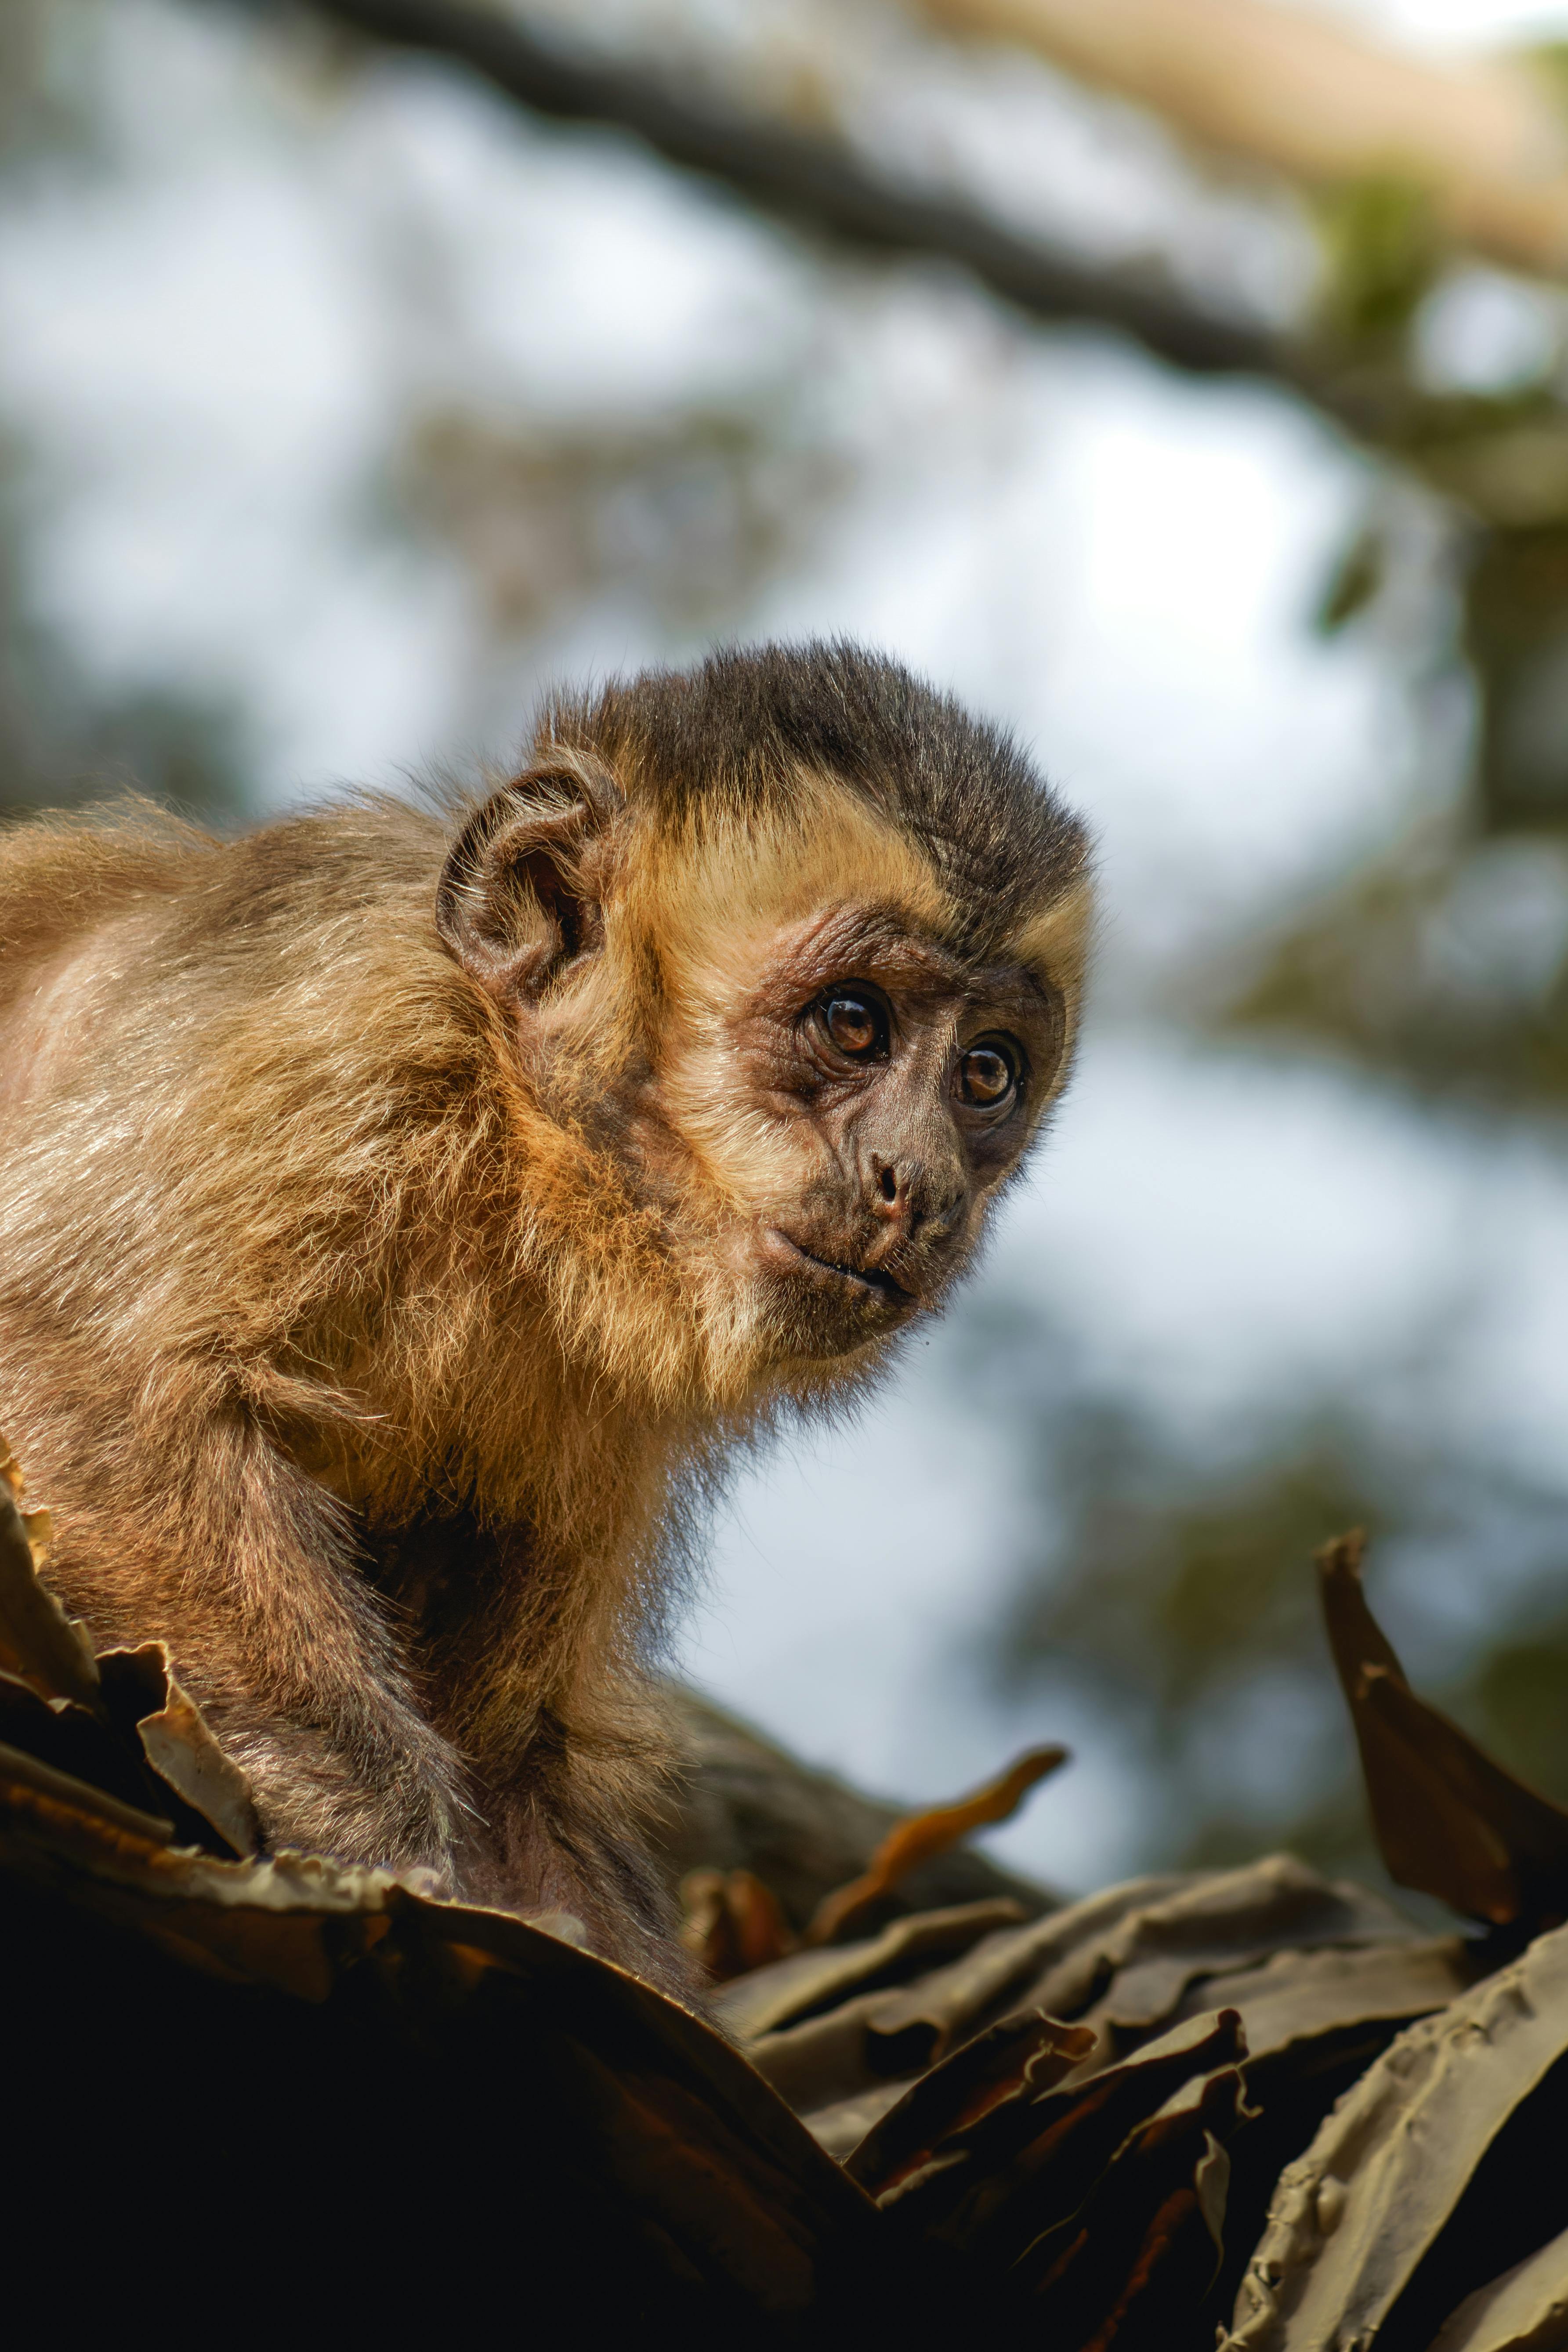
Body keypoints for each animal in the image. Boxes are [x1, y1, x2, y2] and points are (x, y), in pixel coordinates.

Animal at [0, 640, 1090, 1994]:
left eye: (984, 1073)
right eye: (854, 1022)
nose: (921, 1181)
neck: (516, 1149)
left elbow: (513, 1762)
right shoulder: (340, 1015)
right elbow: (74, 1361)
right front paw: (375, 1856)